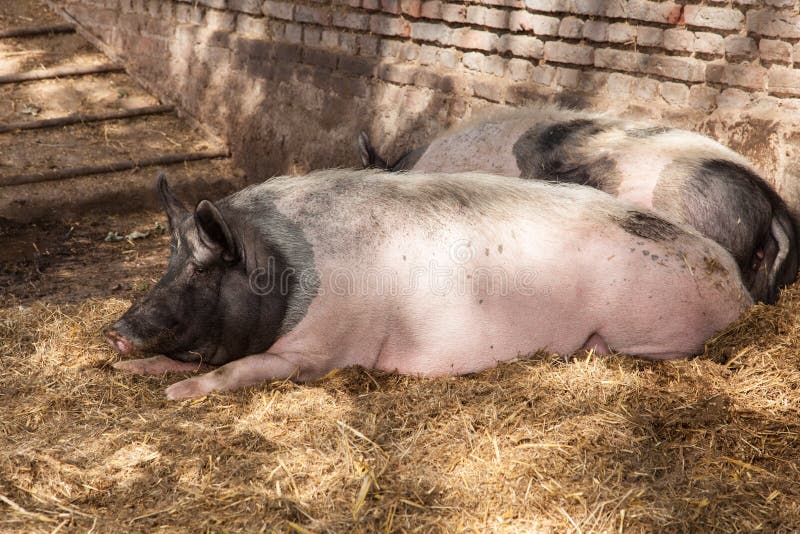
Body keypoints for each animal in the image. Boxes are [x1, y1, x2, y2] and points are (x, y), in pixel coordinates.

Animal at [106, 170, 752, 400]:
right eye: (170, 261)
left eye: (202, 268)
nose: (115, 330)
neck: (288, 274)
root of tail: (740, 287)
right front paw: (137, 371)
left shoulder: (319, 351)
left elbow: (238, 370)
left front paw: (175, 396)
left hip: (646, 327)